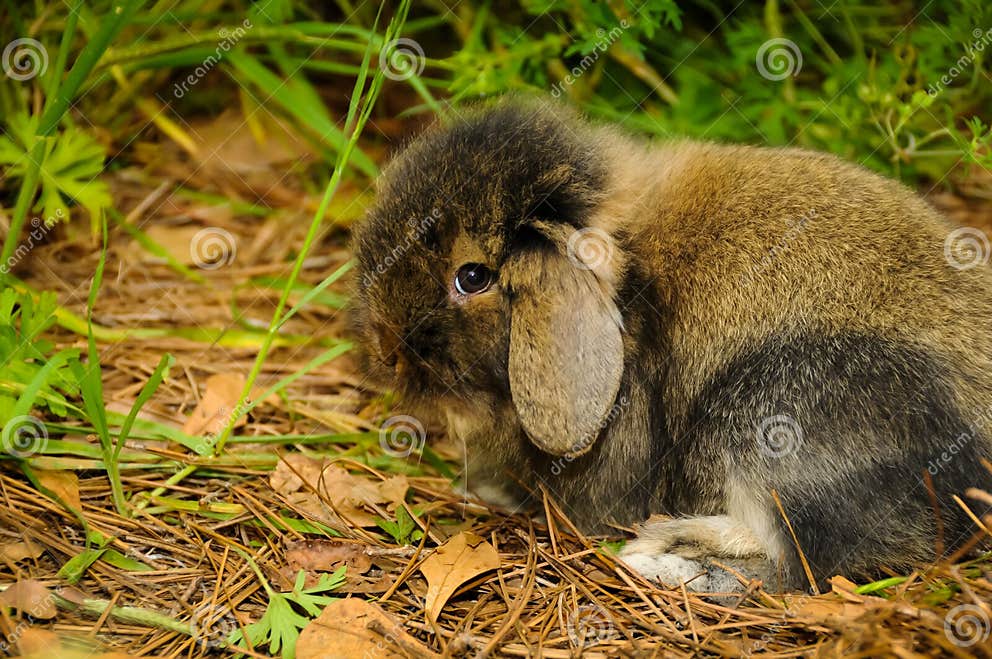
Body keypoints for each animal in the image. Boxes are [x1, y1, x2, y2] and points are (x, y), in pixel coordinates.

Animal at [350, 96, 992, 592]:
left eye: (472, 277)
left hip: (776, 415)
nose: (383, 350)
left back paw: (658, 556)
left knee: (792, 568)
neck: (630, 294)